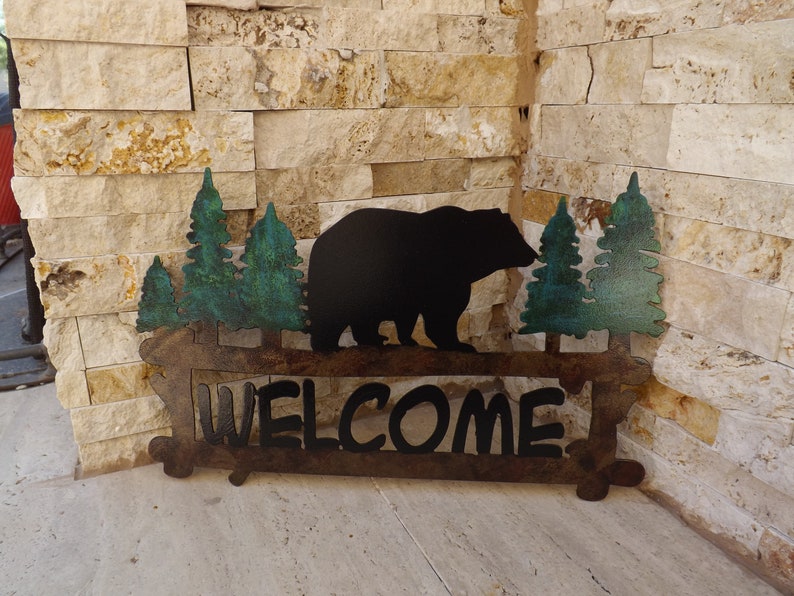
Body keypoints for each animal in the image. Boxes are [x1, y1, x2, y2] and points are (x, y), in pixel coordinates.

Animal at [307, 206, 538, 352]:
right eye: (515, 235)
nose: (533, 253)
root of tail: (318, 244)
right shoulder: (441, 278)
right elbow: (442, 315)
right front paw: (460, 345)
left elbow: (408, 317)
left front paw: (408, 340)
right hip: (344, 278)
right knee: (332, 317)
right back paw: (328, 346)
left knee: (361, 319)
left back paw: (375, 339)